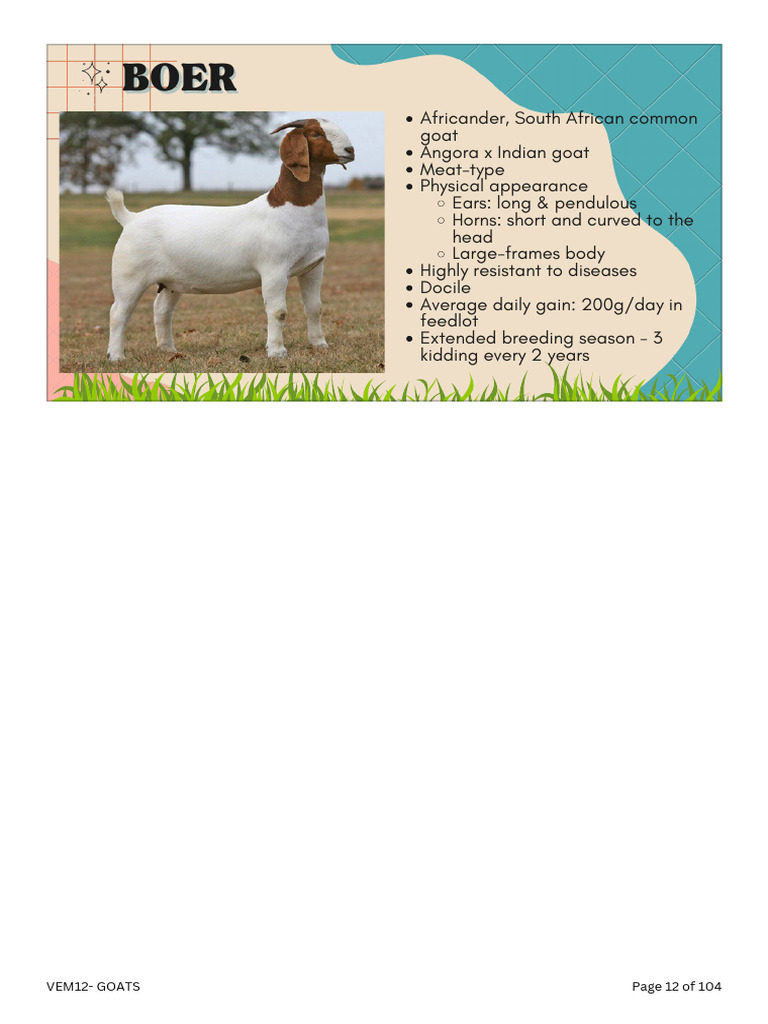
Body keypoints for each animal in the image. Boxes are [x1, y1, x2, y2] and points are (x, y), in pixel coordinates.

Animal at [104, 117, 355, 362]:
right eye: (316, 134)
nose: (350, 150)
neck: (293, 207)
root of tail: (131, 218)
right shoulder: (274, 269)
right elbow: (278, 311)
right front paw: (276, 352)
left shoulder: (313, 267)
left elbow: (315, 307)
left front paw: (319, 344)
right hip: (129, 275)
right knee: (119, 312)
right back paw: (116, 356)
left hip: (171, 281)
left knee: (162, 311)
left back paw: (168, 350)